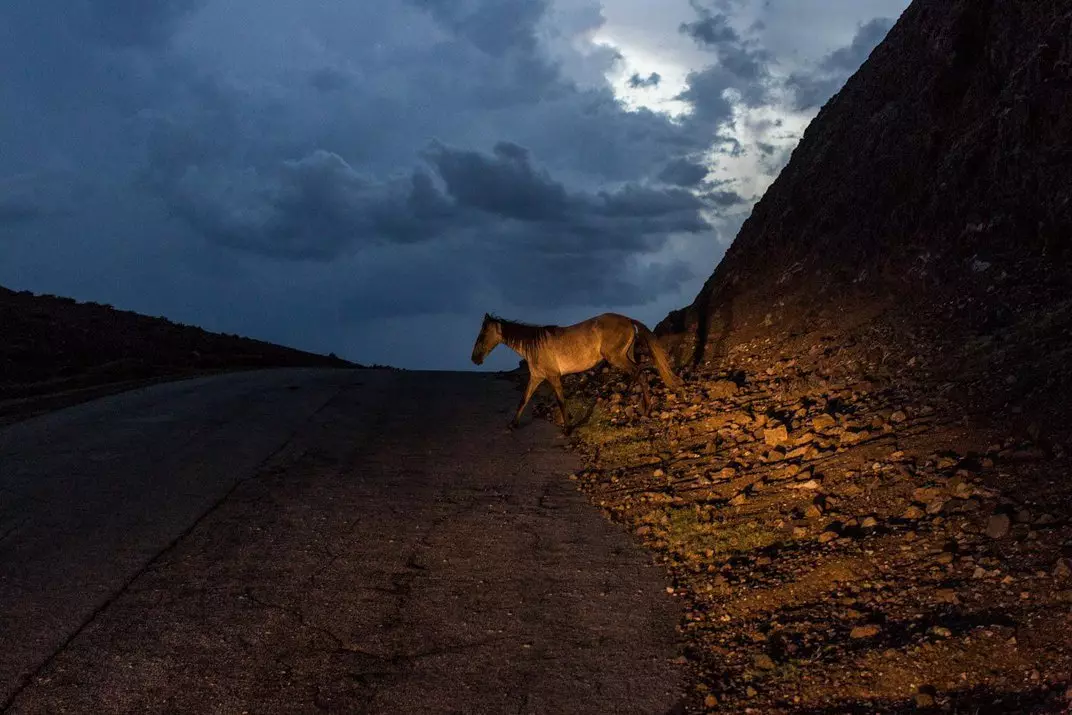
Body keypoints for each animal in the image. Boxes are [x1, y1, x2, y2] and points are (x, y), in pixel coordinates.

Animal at [471, 310, 686, 433]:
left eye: (481, 336)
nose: (475, 359)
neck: (535, 345)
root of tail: (627, 319)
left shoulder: (553, 377)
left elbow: (560, 401)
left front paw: (567, 428)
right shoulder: (536, 377)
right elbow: (523, 400)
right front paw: (513, 424)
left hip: (616, 357)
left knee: (639, 372)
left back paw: (645, 407)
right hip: (626, 354)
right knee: (637, 372)